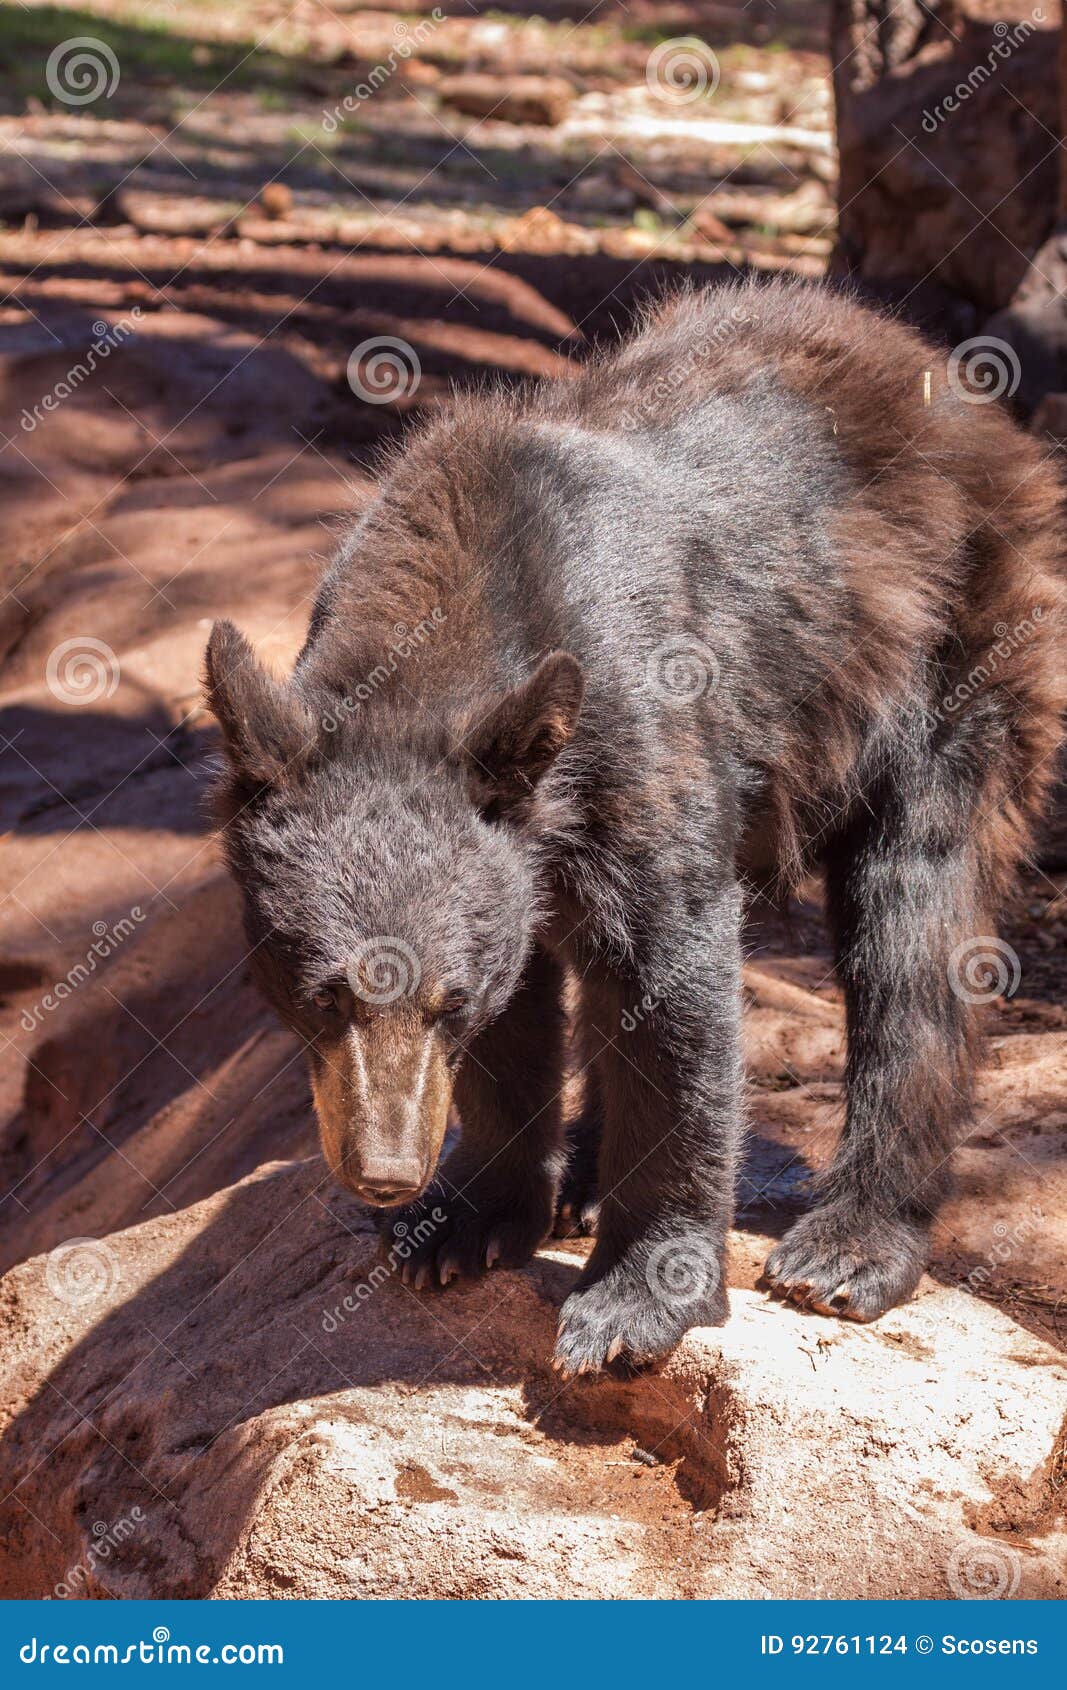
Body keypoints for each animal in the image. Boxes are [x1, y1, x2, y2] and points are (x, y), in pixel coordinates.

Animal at [205, 278, 1065, 1378]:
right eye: (321, 995)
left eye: (446, 1000)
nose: (385, 1172)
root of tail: (954, 383)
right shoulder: (520, 833)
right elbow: (527, 1013)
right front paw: (461, 1222)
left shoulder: (644, 729)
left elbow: (670, 981)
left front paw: (631, 1303)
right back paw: (581, 1176)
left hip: (953, 648)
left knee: (915, 925)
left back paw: (848, 1244)